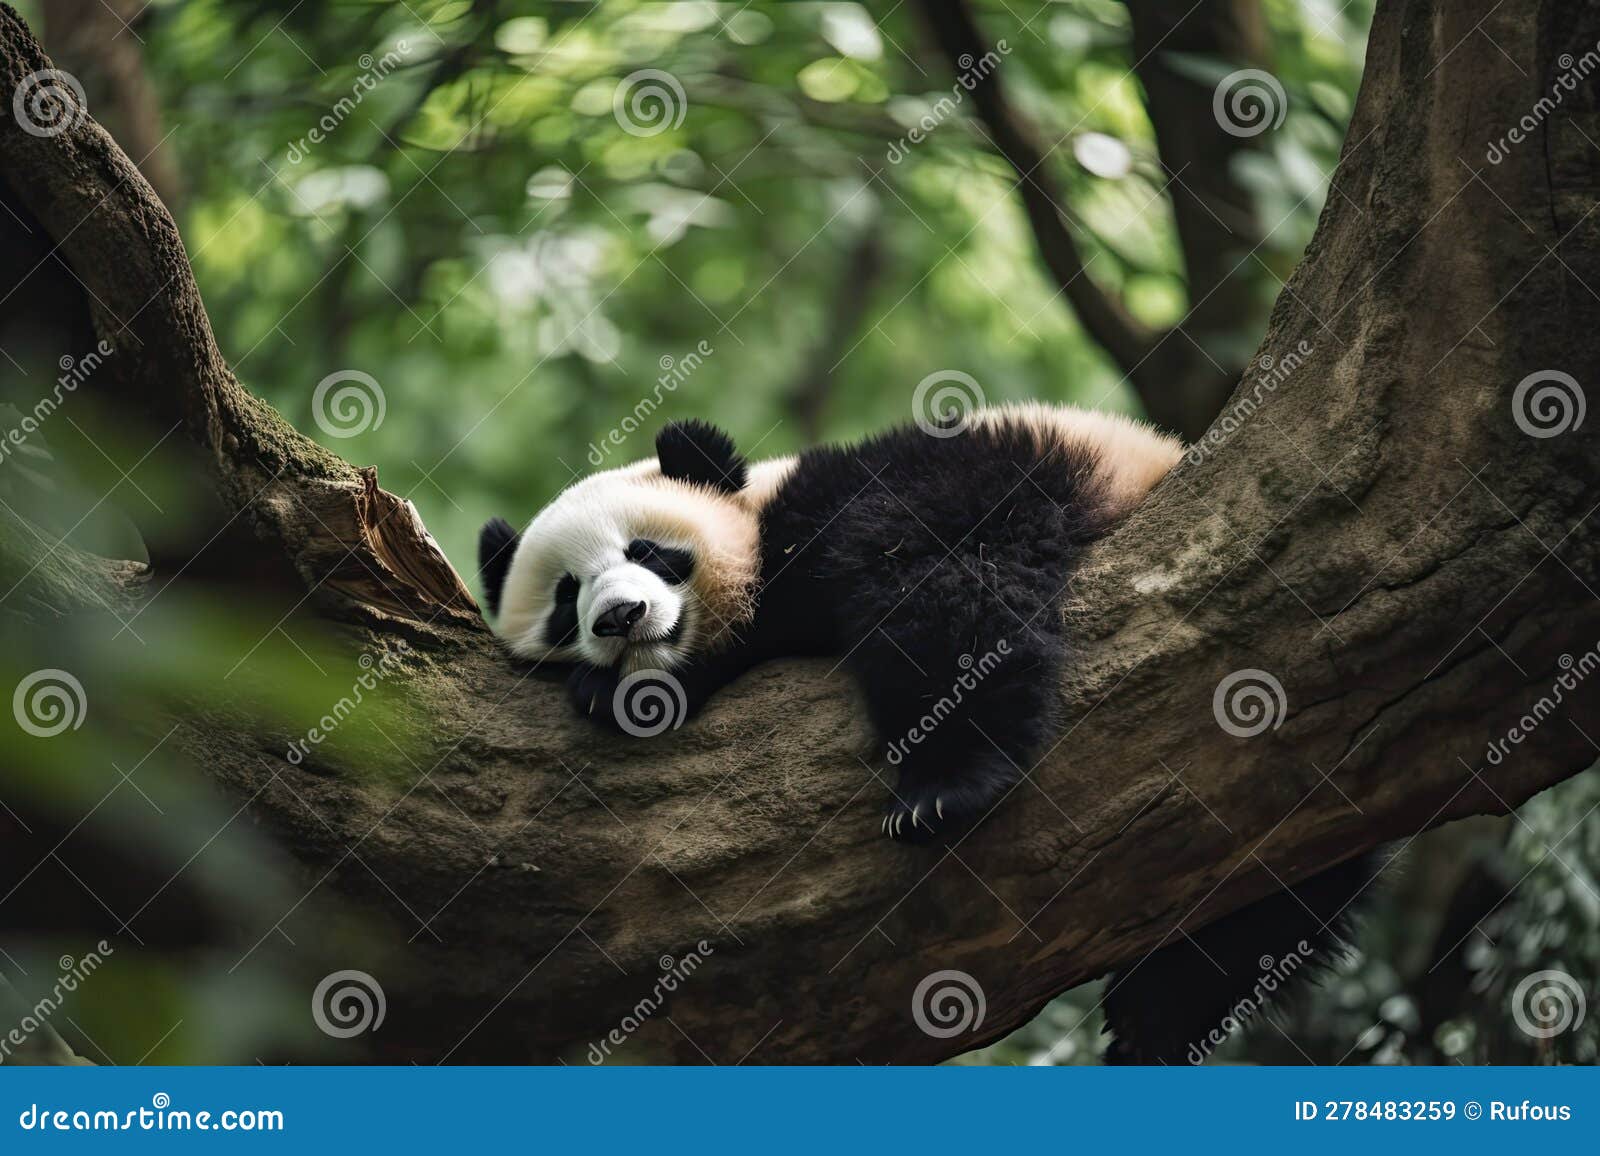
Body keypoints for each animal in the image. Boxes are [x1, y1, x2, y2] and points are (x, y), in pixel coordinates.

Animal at [479, 404, 1376, 1063]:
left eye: (651, 551)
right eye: (565, 597)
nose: (621, 617)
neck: (764, 517)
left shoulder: (913, 484)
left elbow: (936, 587)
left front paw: (946, 783)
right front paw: (614, 688)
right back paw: (1161, 1015)